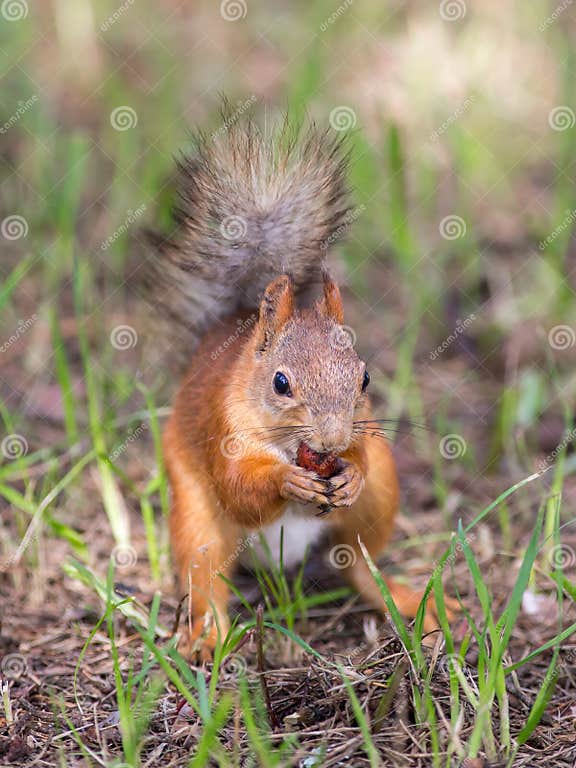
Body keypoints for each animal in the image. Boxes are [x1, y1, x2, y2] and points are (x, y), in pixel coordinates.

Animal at [145, 118, 454, 660]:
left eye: (365, 377)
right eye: (281, 383)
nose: (331, 442)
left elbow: (360, 459)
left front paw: (349, 473)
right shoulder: (221, 428)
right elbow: (238, 487)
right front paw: (286, 482)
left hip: (380, 499)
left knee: (358, 562)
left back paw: (409, 600)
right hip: (194, 515)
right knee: (205, 578)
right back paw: (207, 637)